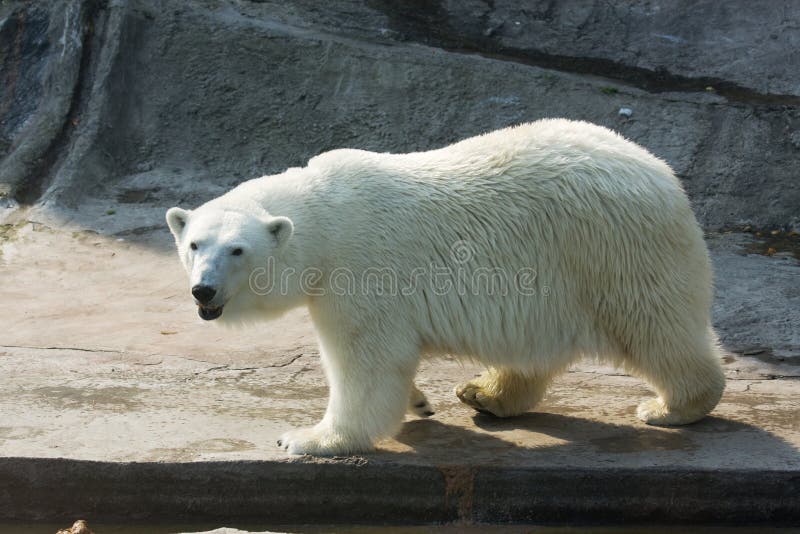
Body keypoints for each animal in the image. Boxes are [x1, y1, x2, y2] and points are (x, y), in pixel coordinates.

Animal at [166, 119, 726, 455]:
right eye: (194, 244)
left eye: (237, 250)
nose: (203, 291)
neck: (326, 216)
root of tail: (663, 175)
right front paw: (418, 401)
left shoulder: (361, 271)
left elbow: (365, 361)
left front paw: (310, 438)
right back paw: (485, 393)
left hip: (612, 250)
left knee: (655, 325)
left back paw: (671, 406)